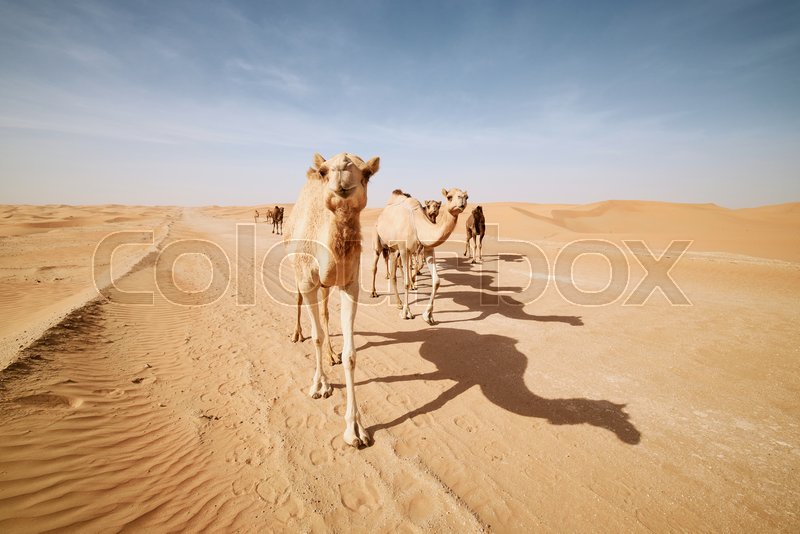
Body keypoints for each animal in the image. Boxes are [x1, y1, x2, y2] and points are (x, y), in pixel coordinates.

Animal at [284, 152, 380, 447]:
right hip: (296, 268)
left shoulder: (350, 285)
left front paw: (355, 429)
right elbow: (315, 336)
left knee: (325, 313)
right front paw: (320, 385)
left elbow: (351, 354)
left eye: (367, 173)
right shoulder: (308, 280)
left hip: (326, 286)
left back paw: (330, 354)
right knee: (299, 301)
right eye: (325, 172)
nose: (342, 171)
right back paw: (296, 334)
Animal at [371, 188, 468, 325]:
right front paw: (406, 313)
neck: (417, 224)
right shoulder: (404, 249)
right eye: (449, 197)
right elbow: (406, 282)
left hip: (393, 249)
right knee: (375, 266)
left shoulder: (427, 249)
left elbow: (436, 281)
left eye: (467, 197)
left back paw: (399, 303)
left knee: (394, 275)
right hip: (378, 241)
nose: (462, 200)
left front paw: (428, 315)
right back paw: (374, 293)